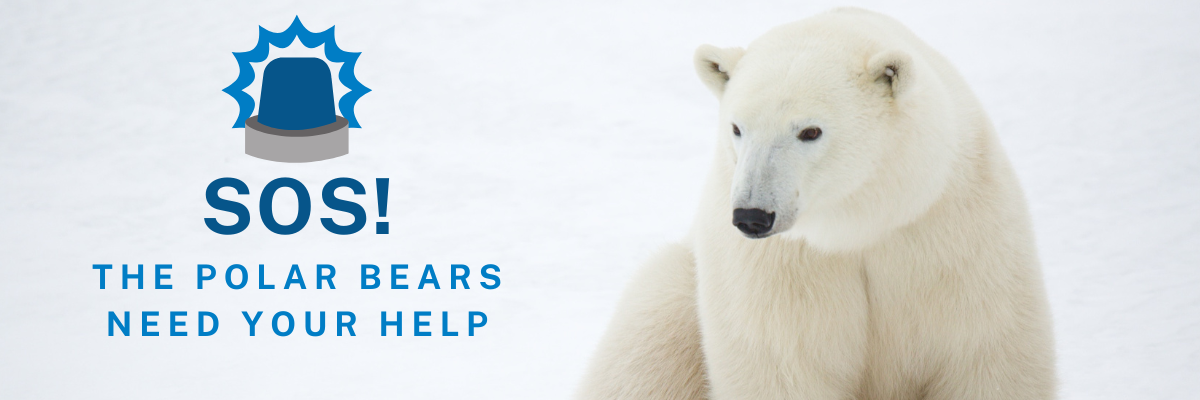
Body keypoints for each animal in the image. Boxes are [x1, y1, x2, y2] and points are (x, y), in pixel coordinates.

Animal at [576, 8, 1055, 400]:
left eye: (810, 131)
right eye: (737, 127)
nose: (752, 216)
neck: (859, 224)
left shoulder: (953, 236)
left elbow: (984, 352)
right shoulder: (780, 268)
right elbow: (783, 363)